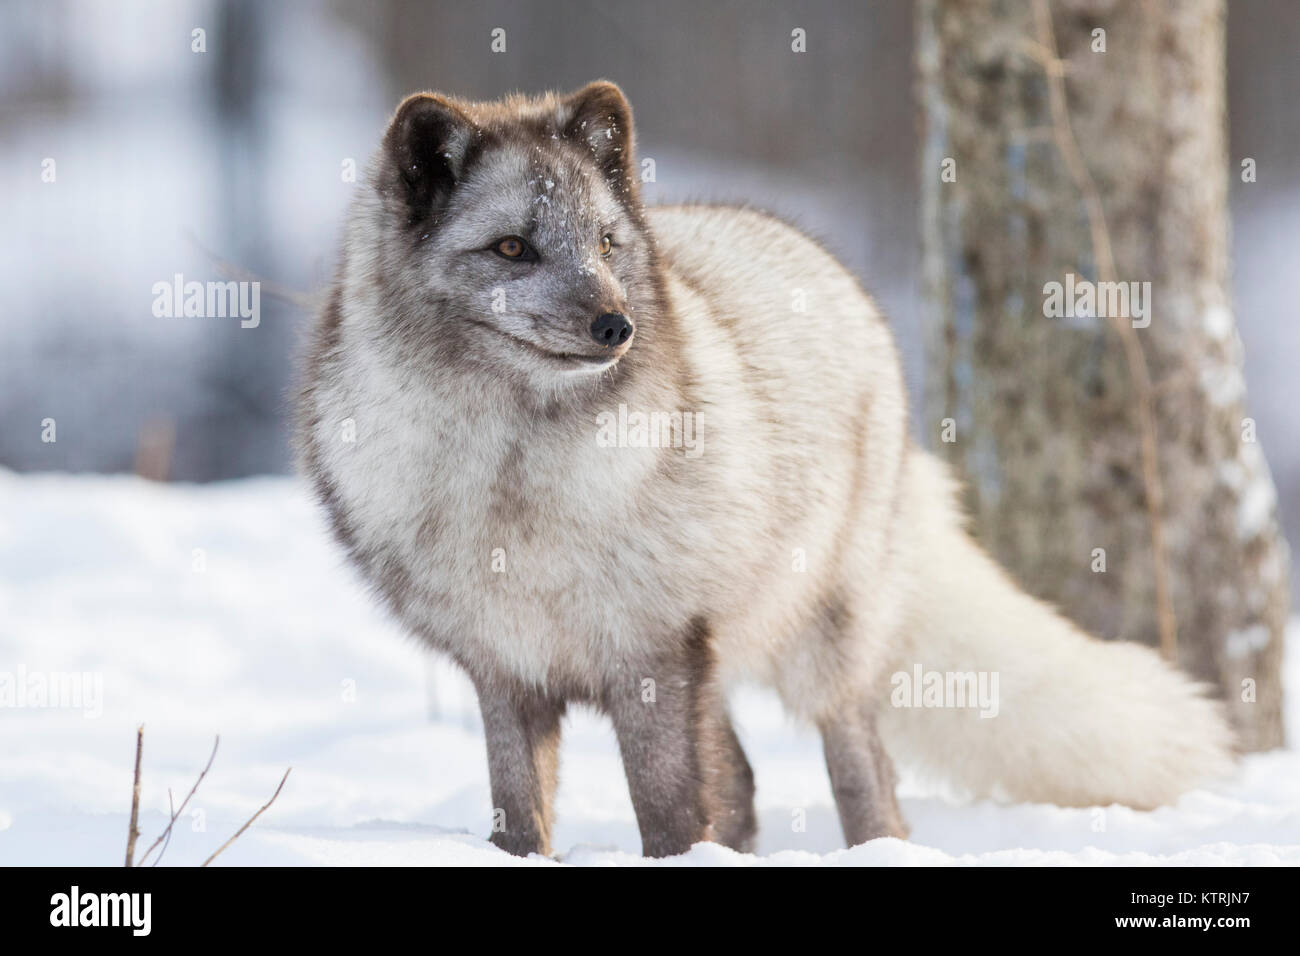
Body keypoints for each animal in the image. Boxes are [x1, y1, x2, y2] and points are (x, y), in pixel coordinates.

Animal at [296, 81, 1234, 858]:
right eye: (513, 248)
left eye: (604, 242)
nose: (617, 326)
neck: (509, 476)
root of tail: (825, 264)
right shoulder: (503, 669)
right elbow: (520, 820)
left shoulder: (653, 655)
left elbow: (672, 815)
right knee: (744, 782)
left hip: (823, 641)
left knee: (865, 775)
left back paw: (876, 846)